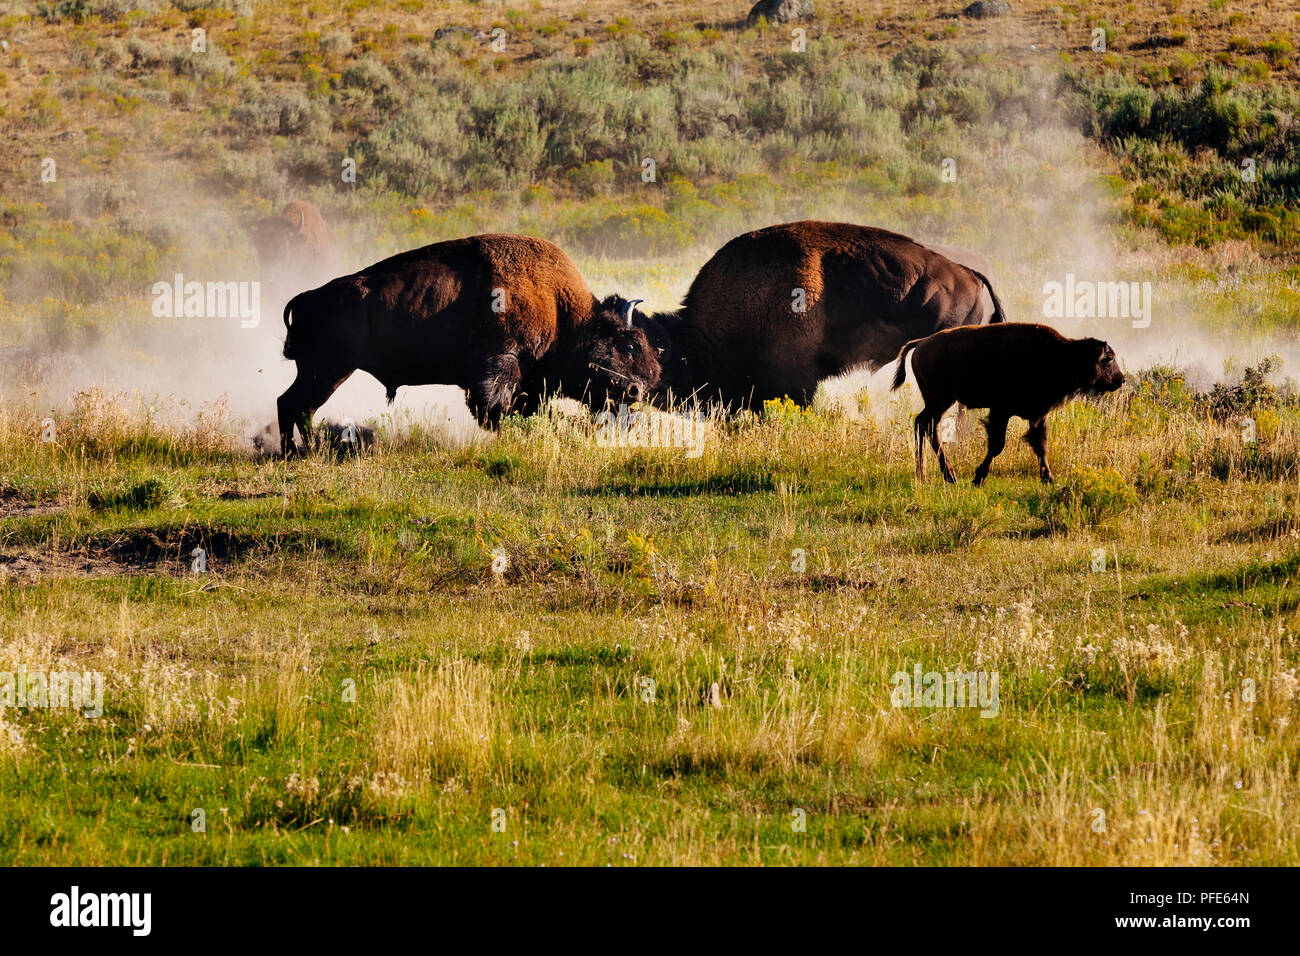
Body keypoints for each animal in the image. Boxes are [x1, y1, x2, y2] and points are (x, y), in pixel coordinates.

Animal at [276, 233, 659, 456]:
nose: (639, 390)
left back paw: (296, 450)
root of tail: (308, 297)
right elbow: (495, 409)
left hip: (321, 371)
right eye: (629, 345)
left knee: (291, 404)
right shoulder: (499, 367)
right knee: (297, 405)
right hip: (328, 371)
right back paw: (302, 451)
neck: (563, 311)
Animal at [891, 322, 1125, 485]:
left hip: (939, 402)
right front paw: (978, 478)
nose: (1121, 379)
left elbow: (1041, 446)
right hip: (940, 400)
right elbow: (997, 445)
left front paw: (1049, 479)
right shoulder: (1001, 412)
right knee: (927, 426)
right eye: (1108, 359)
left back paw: (925, 474)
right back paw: (948, 475)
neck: (1062, 355)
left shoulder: (1038, 416)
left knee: (923, 424)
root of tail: (921, 343)